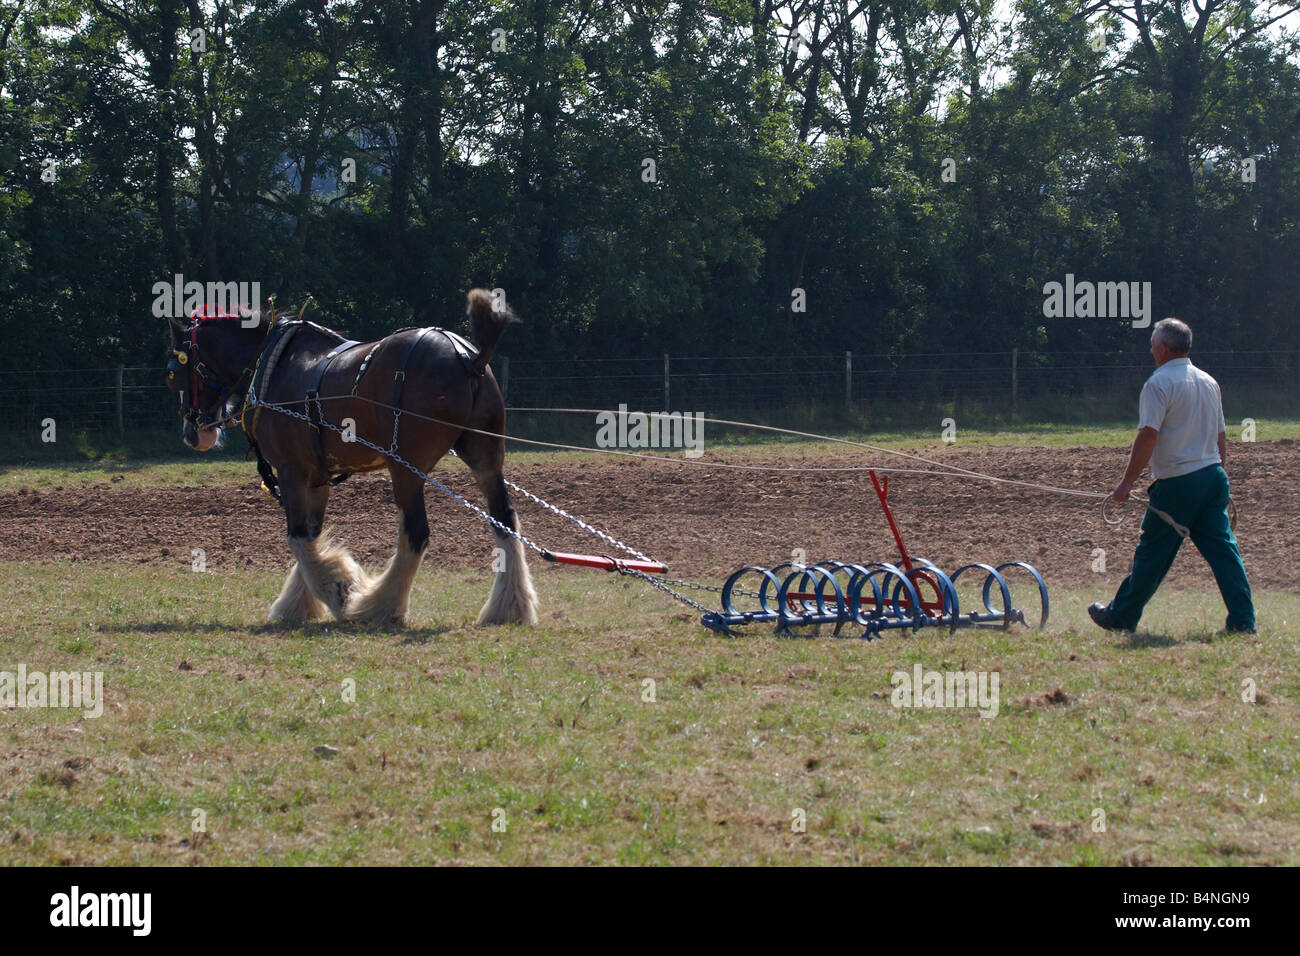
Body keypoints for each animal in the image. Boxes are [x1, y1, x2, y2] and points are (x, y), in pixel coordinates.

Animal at [163, 290, 539, 627]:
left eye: (173, 371)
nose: (192, 432)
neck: (272, 365)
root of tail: (469, 360)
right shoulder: (317, 478)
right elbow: (311, 536)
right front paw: (299, 604)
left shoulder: (291, 471)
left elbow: (298, 538)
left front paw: (338, 592)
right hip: (486, 460)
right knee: (504, 522)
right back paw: (508, 607)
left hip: (405, 468)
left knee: (416, 534)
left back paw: (380, 607)